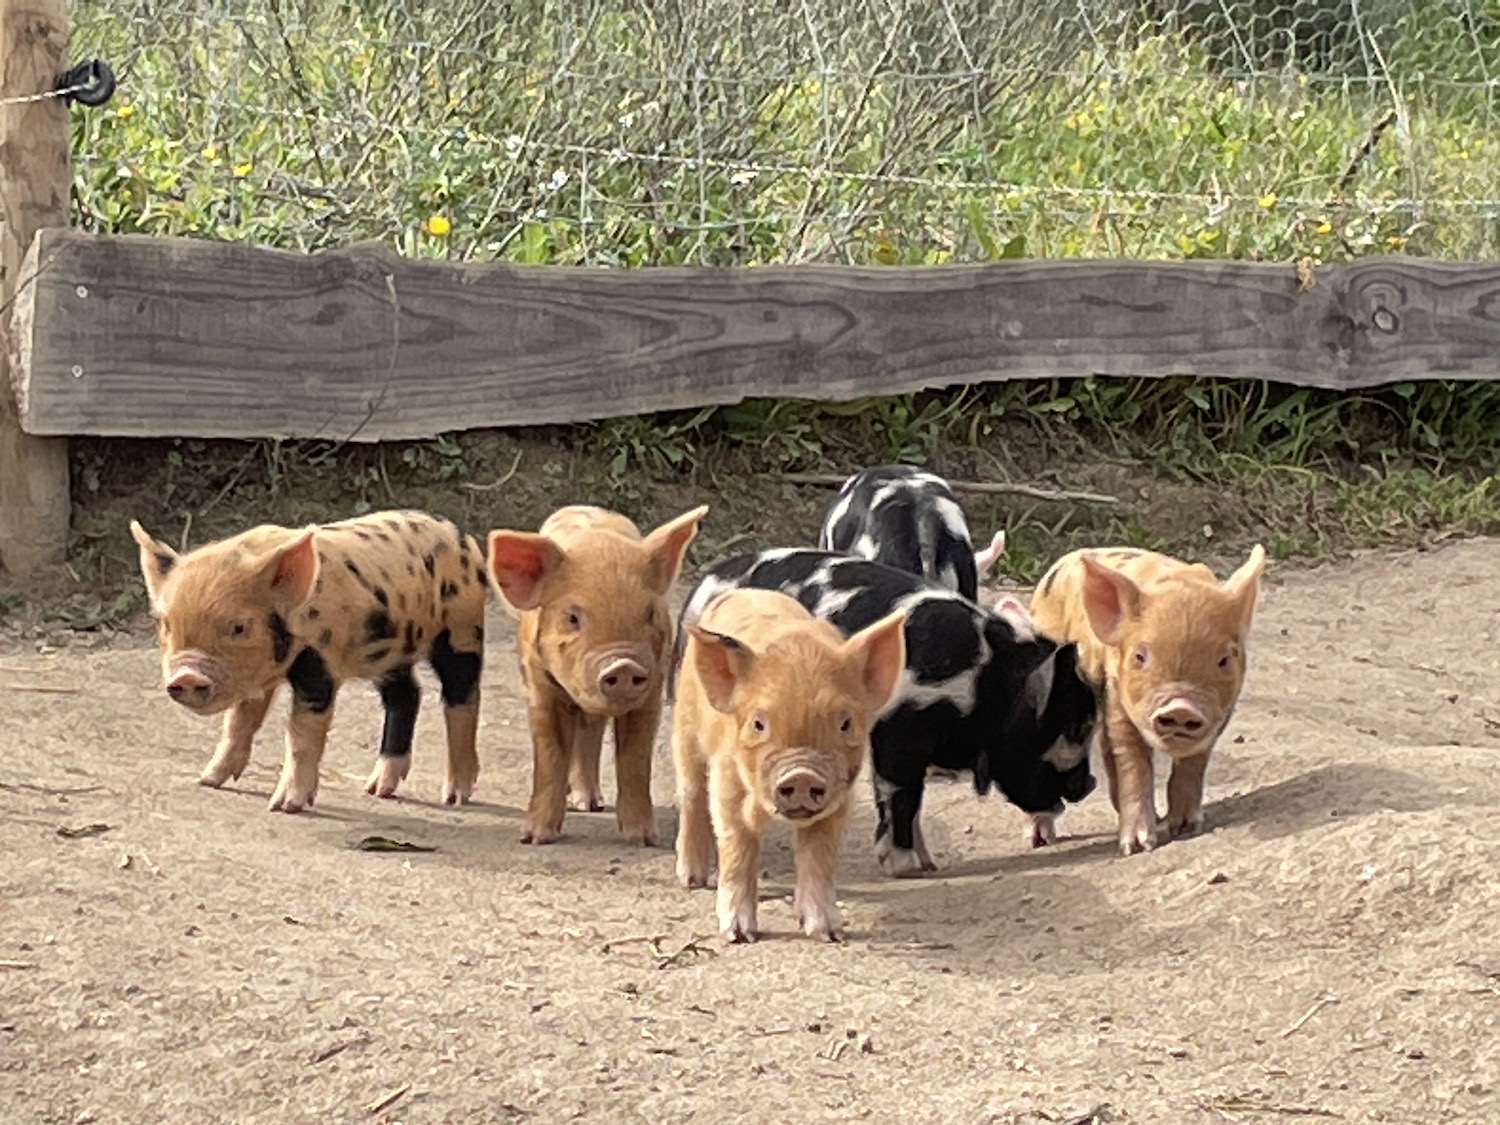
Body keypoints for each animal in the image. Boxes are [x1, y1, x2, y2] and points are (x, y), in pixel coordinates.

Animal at [129, 510, 491, 813]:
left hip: (461, 629)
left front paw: (284, 807)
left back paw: (454, 797)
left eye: (239, 627)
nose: (187, 675)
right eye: (164, 623)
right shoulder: (259, 676)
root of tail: (458, 535)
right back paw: (376, 790)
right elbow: (239, 722)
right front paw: (208, 780)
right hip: (387, 653)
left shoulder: (319, 663)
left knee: (463, 697)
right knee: (407, 695)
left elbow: (301, 733)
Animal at [487, 503, 709, 847]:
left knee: (591, 729)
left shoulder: (653, 686)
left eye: (650, 614)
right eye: (572, 618)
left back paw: (589, 803)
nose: (623, 665)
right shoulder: (539, 682)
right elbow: (550, 752)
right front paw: (535, 838)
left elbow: (635, 757)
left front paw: (643, 839)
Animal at [672, 587, 908, 942]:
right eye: (758, 723)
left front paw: (829, 933)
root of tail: (742, 591)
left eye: (846, 723)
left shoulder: (840, 798)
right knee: (691, 795)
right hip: (685, 728)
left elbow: (818, 855)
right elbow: (737, 848)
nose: (801, 774)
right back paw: (692, 880)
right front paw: (740, 936)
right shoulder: (727, 783)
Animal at [674, 548, 1099, 877]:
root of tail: (702, 588)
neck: (981, 680)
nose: (1090, 783)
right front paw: (906, 866)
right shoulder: (899, 733)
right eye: (1077, 726)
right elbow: (902, 795)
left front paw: (930, 864)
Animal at [1027, 544, 1267, 856]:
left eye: (1225, 659)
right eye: (1140, 656)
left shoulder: (1220, 717)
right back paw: (1040, 840)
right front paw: (1138, 847)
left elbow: (1194, 762)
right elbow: (1133, 762)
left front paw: (1185, 828)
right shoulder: (1116, 696)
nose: (1180, 707)